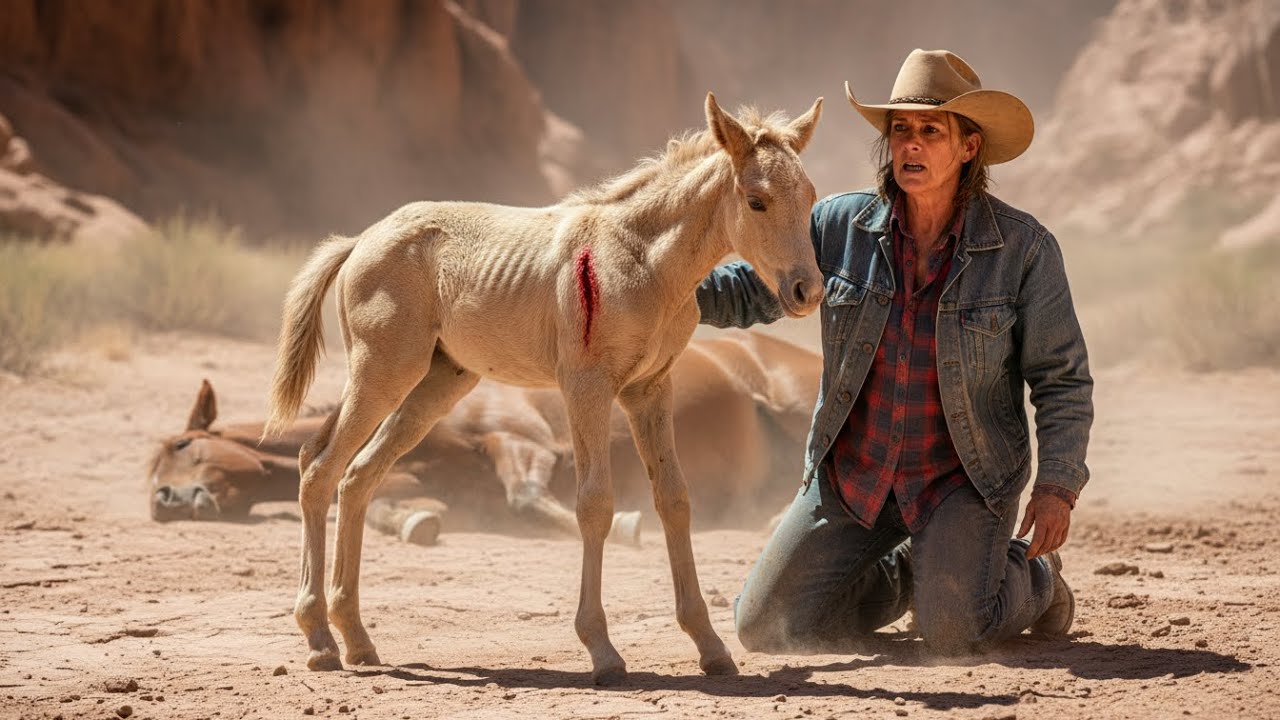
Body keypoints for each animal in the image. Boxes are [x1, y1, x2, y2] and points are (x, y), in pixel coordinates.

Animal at [148, 330, 820, 541]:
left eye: (182, 446)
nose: (165, 501)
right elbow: (380, 503)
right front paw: (415, 522)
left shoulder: (519, 443)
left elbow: (527, 498)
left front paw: (631, 525)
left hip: (793, 405)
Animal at [265, 94, 824, 682]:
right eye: (757, 201)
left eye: (810, 196)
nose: (806, 290)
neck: (641, 262)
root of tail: (359, 242)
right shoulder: (587, 387)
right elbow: (594, 504)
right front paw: (601, 649)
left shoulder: (650, 390)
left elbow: (674, 499)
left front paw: (709, 644)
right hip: (382, 372)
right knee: (320, 469)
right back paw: (320, 638)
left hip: (433, 387)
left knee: (356, 477)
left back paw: (355, 637)